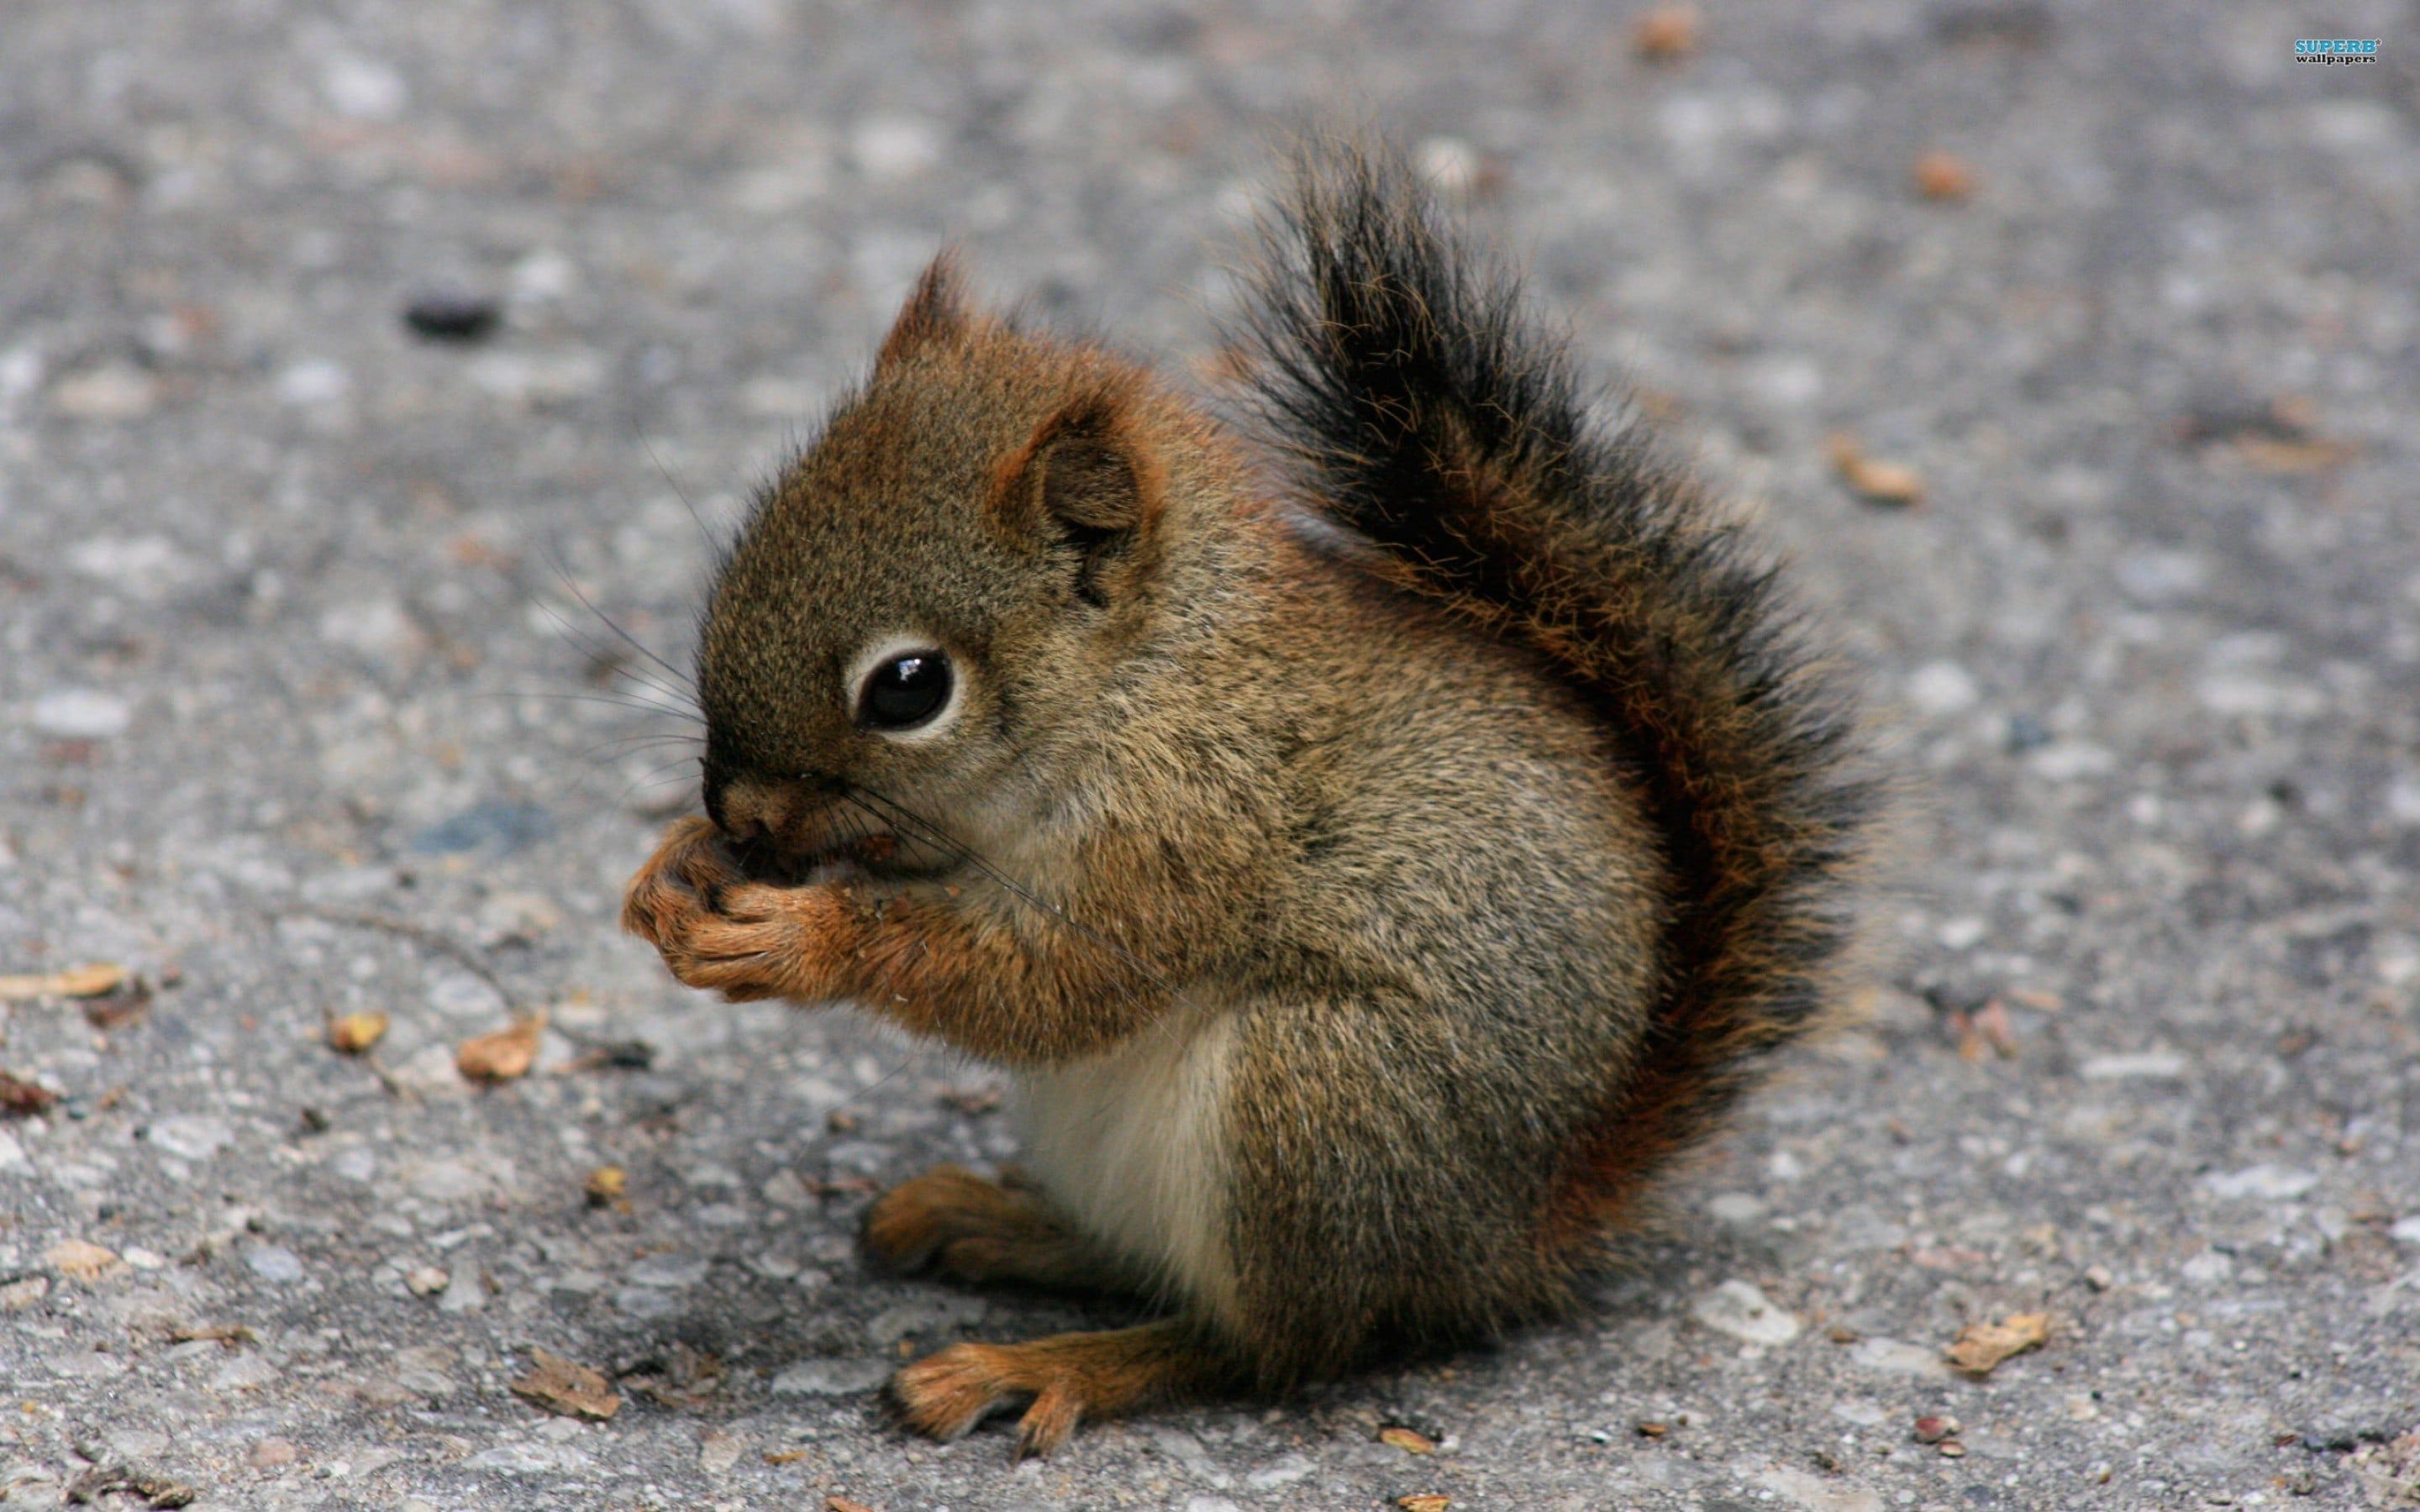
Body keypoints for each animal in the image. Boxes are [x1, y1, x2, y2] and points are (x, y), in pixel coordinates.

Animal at [621, 144, 1872, 1457]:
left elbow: (1055, 983)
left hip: (1317, 1101)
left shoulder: (1188, 830)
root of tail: (1509, 1240)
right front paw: (674, 871)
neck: (1146, 681)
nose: (741, 813)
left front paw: (799, 938)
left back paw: (1049, 1363)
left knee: (1268, 1346)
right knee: (1147, 1264)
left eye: (909, 687)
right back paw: (997, 1222)